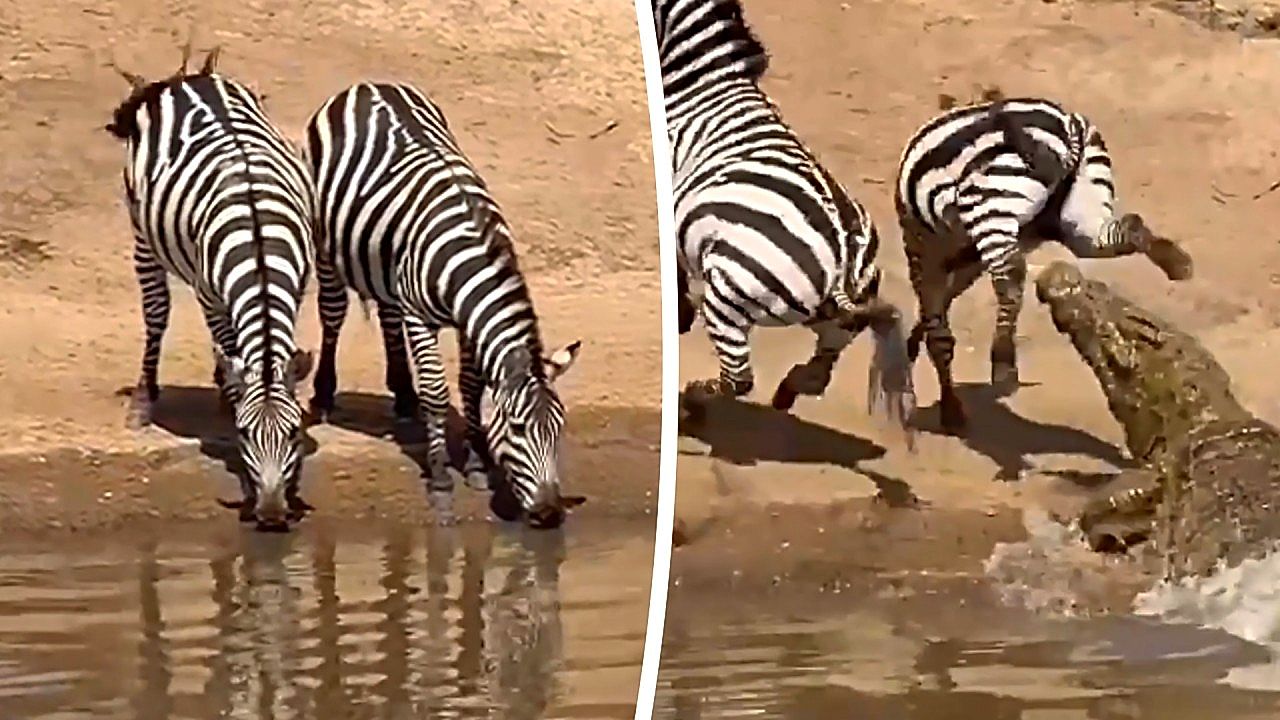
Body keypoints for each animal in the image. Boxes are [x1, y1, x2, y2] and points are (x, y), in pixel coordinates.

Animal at [105, 47, 316, 530]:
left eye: (294, 432)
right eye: (245, 434)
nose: (271, 515)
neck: (259, 252)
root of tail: (188, 80)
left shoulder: (295, 290)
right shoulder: (210, 295)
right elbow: (228, 346)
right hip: (142, 232)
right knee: (156, 315)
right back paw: (144, 401)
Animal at [303, 82, 583, 528]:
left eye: (560, 429)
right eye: (518, 428)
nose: (549, 514)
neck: (469, 257)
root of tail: (366, 84)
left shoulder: (470, 322)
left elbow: (470, 386)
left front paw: (475, 463)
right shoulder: (421, 316)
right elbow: (436, 392)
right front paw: (439, 475)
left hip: (385, 262)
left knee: (388, 315)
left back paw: (403, 395)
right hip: (325, 244)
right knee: (333, 315)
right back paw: (325, 395)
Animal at [658, 0, 915, 438]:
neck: (702, 78)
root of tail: (843, 258)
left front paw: (679, 315)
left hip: (730, 297)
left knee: (739, 379)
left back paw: (692, 404)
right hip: (839, 317)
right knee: (820, 370)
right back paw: (786, 392)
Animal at [895, 94, 1194, 434]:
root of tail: (1068, 126)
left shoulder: (925, 256)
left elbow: (939, 334)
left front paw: (950, 409)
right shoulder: (965, 259)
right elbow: (940, 314)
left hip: (990, 203)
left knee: (1010, 277)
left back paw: (1004, 362)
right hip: (1080, 216)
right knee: (1128, 228)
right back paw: (1175, 262)